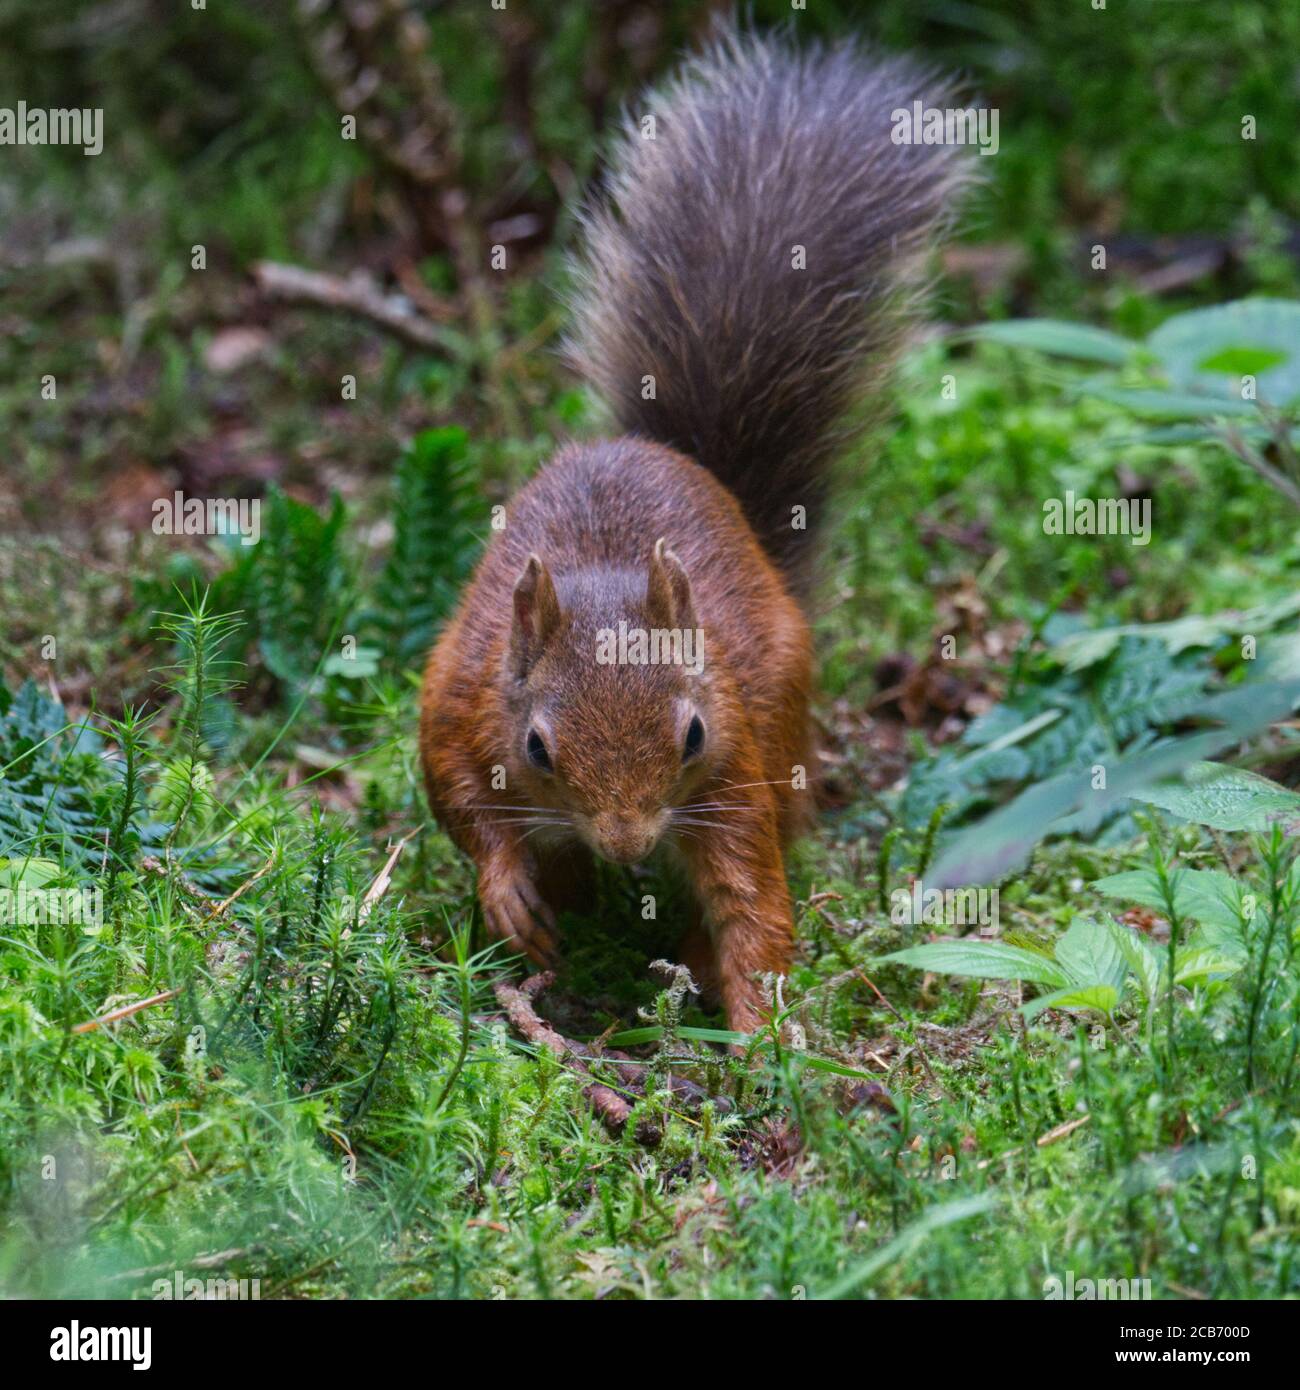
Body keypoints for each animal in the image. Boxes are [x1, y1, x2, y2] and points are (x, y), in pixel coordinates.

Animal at [419, 25, 966, 1033]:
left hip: (785, 721)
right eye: (538, 746)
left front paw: (760, 1035)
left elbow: (753, 901)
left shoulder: (736, 769)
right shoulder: (464, 706)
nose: (629, 841)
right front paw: (508, 893)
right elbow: (463, 809)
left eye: (693, 736)